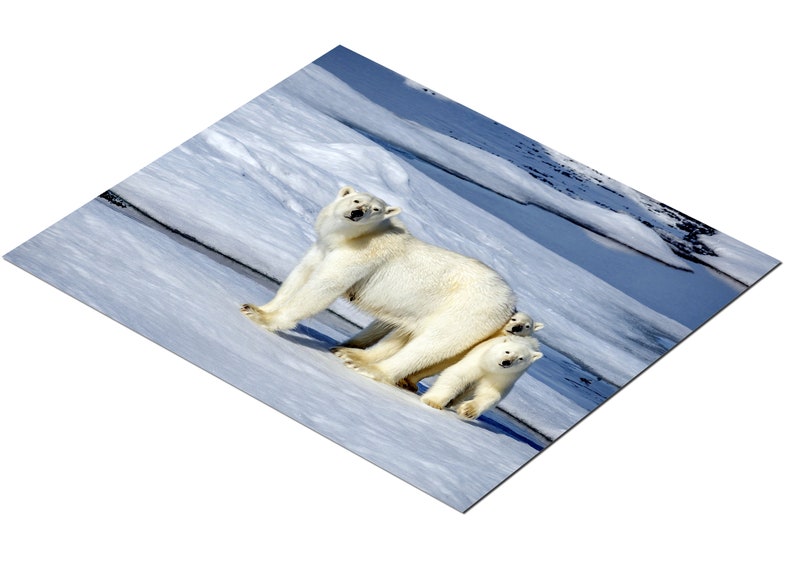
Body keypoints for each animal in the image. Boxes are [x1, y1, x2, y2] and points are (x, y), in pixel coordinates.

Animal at [241, 186, 517, 387]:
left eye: (375, 208)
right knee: (403, 331)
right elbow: (300, 274)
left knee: (433, 343)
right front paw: (256, 308)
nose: (357, 213)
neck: (351, 237)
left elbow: (323, 286)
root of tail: (510, 304)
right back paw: (350, 352)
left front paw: (266, 320)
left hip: (468, 311)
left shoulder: (361, 255)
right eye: (356, 200)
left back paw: (367, 367)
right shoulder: (322, 248)